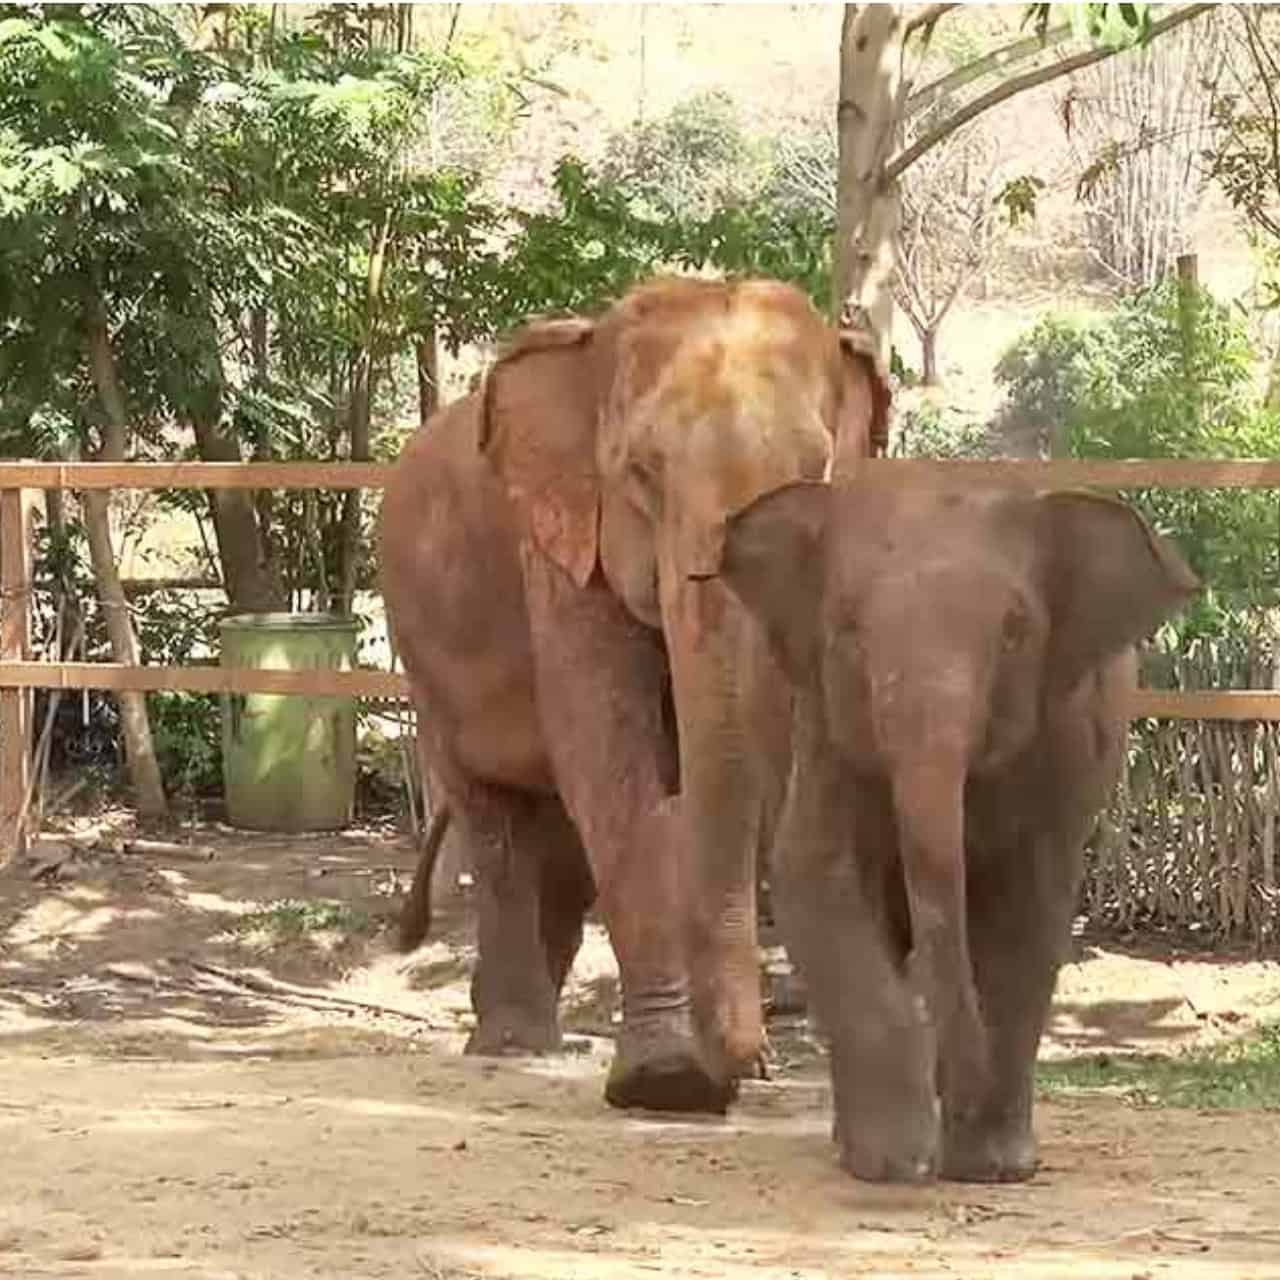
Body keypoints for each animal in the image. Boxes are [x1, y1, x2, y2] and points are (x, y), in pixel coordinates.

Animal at [379, 276, 890, 1114]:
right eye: (643, 474)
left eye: (816, 470)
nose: (741, 1068)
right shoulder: (559, 547)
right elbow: (608, 755)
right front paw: (669, 1081)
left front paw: (729, 1071)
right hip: (422, 648)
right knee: (497, 818)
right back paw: (514, 1043)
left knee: (559, 844)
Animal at [717, 476, 1198, 1180]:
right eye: (848, 628)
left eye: (1015, 632)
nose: (960, 1093)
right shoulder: (821, 724)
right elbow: (814, 873)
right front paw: (895, 1164)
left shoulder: (1062, 738)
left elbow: (1030, 905)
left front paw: (992, 1168)